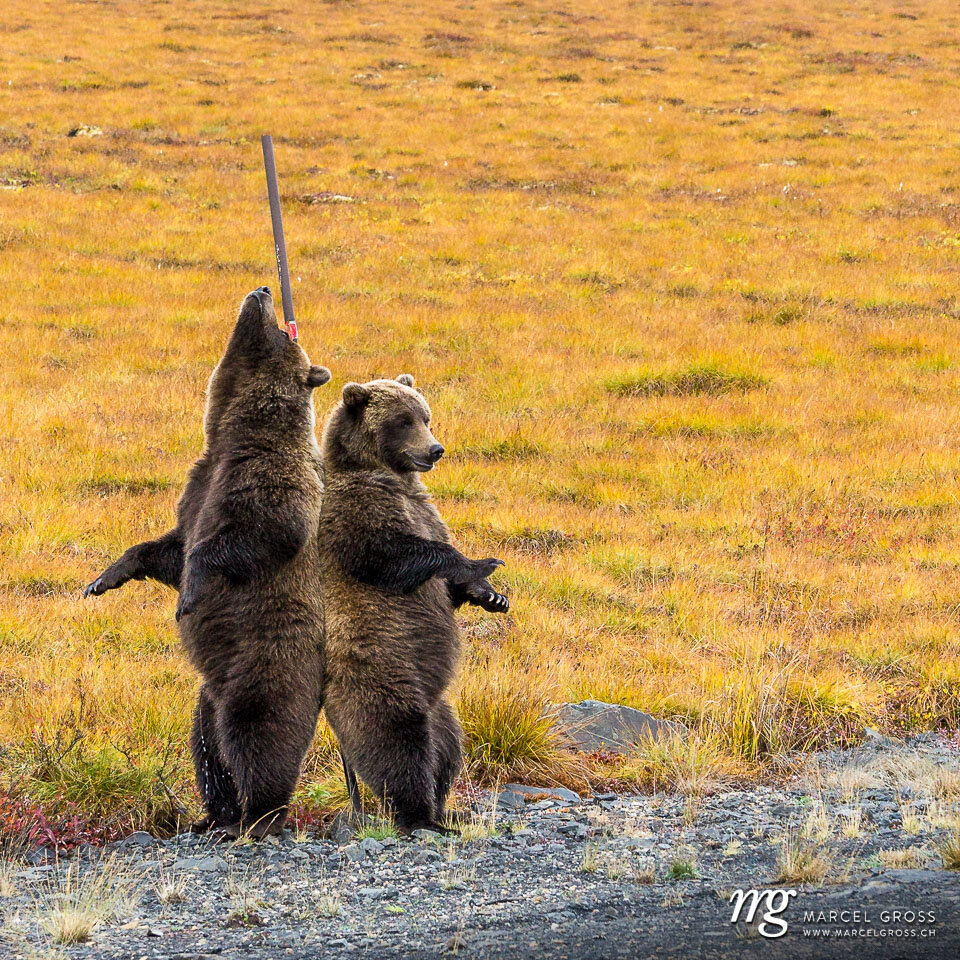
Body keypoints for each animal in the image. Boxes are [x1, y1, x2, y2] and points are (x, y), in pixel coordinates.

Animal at [84, 286, 331, 837]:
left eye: (284, 331)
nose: (263, 290)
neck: (231, 432)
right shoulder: (197, 485)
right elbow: (166, 549)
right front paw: (103, 579)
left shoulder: (267, 475)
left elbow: (262, 531)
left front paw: (189, 595)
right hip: (206, 699)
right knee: (207, 748)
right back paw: (213, 815)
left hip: (263, 669)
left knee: (259, 740)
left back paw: (258, 815)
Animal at [318, 374, 509, 833]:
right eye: (402, 420)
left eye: (426, 416)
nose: (435, 449)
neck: (393, 479)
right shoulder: (355, 514)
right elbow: (393, 554)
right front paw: (479, 562)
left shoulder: (424, 509)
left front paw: (490, 594)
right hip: (383, 676)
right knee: (397, 744)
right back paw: (420, 815)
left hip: (438, 704)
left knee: (448, 745)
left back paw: (446, 808)